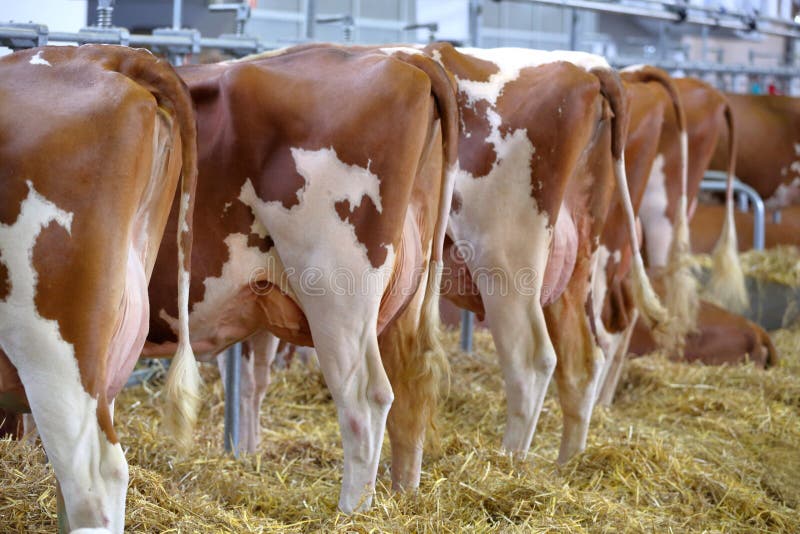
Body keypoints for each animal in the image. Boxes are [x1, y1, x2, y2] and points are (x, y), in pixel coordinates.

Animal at [141, 44, 459, 511]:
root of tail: (406, 59)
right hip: (405, 301)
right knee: (411, 392)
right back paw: (404, 497)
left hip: (336, 294)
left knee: (366, 401)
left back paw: (351, 512)